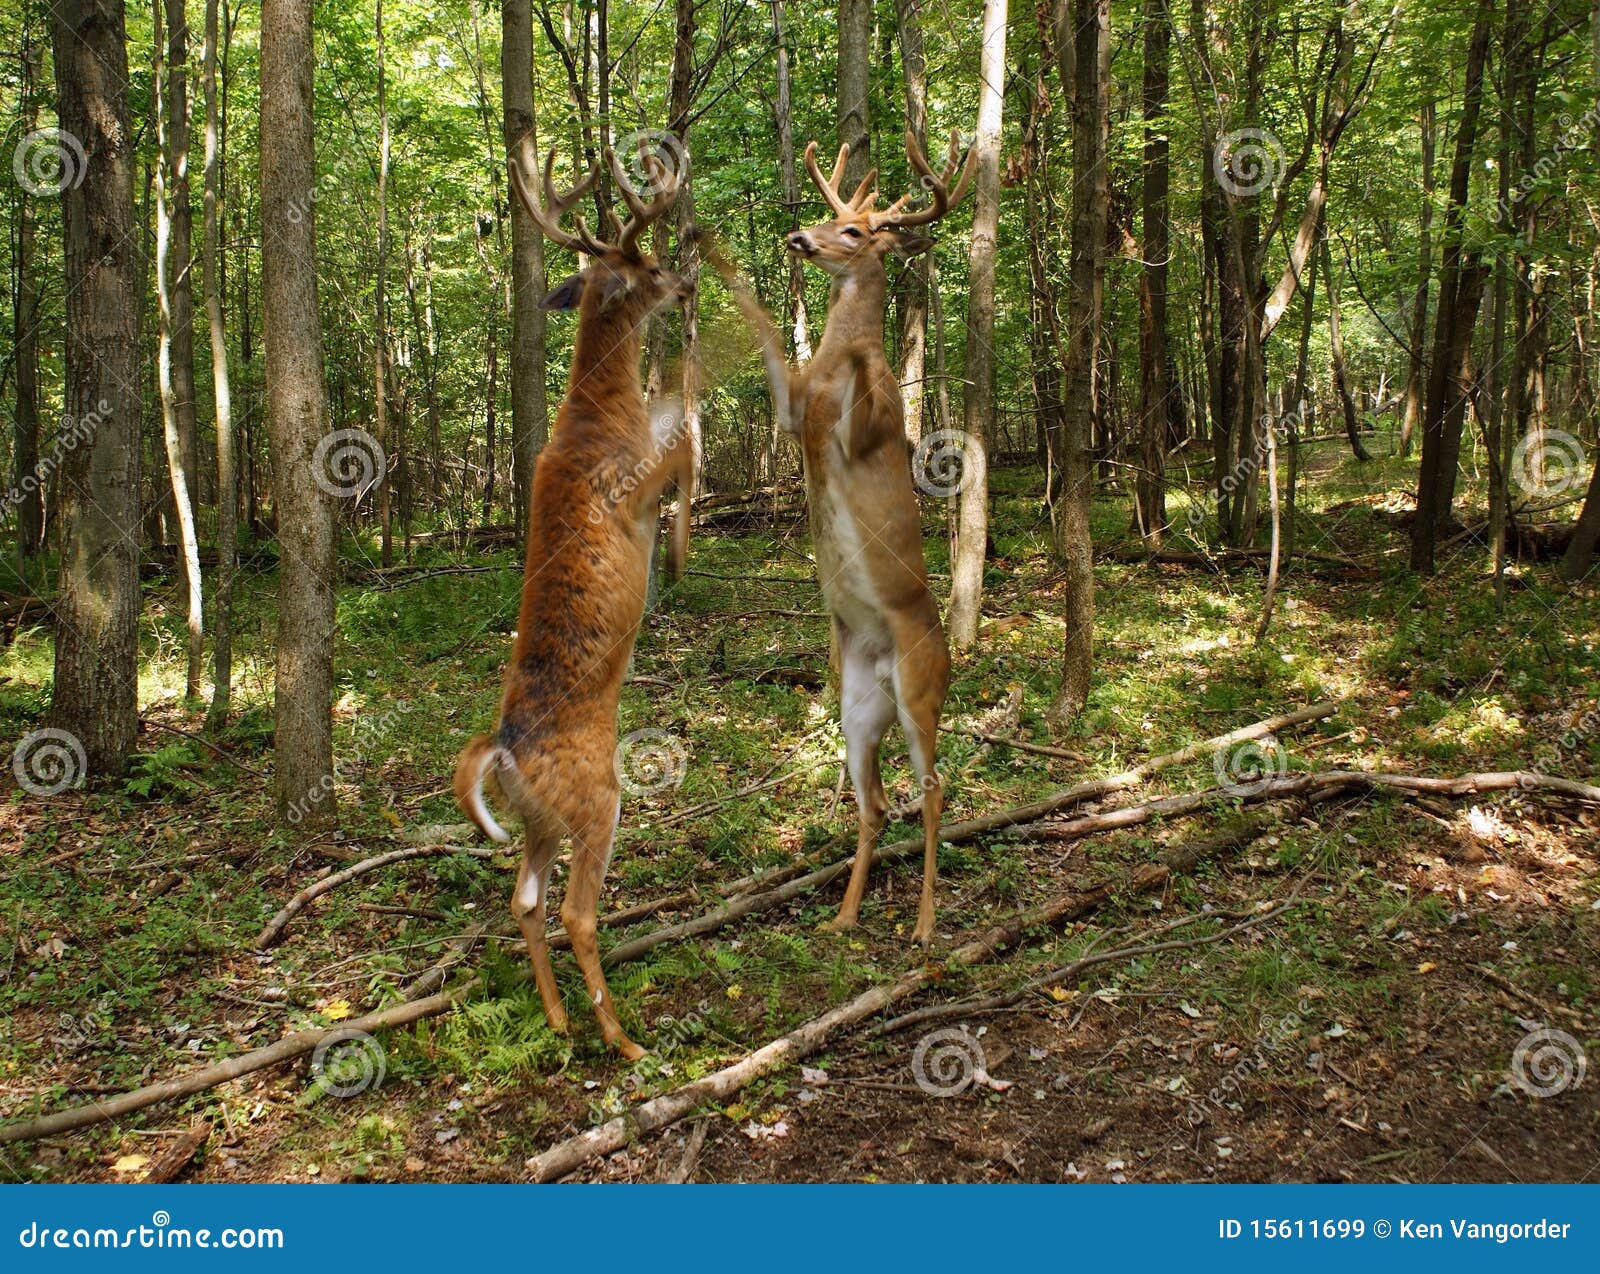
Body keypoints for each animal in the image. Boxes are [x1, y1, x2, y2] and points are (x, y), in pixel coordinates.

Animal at [453, 143, 693, 1060]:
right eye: (649, 262)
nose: (686, 282)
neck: (597, 413)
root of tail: (504, 753)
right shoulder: (635, 483)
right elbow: (689, 436)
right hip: (596, 803)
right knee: (576, 913)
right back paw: (622, 1039)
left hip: (538, 822)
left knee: (522, 901)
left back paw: (557, 1019)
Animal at [700, 129, 974, 946]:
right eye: (830, 217)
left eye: (857, 230)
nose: (799, 237)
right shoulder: (795, 411)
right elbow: (765, 328)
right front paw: (710, 247)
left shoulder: (865, 431)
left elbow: (869, 374)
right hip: (857, 710)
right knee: (876, 801)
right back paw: (847, 915)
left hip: (921, 692)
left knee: (936, 789)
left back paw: (922, 927)